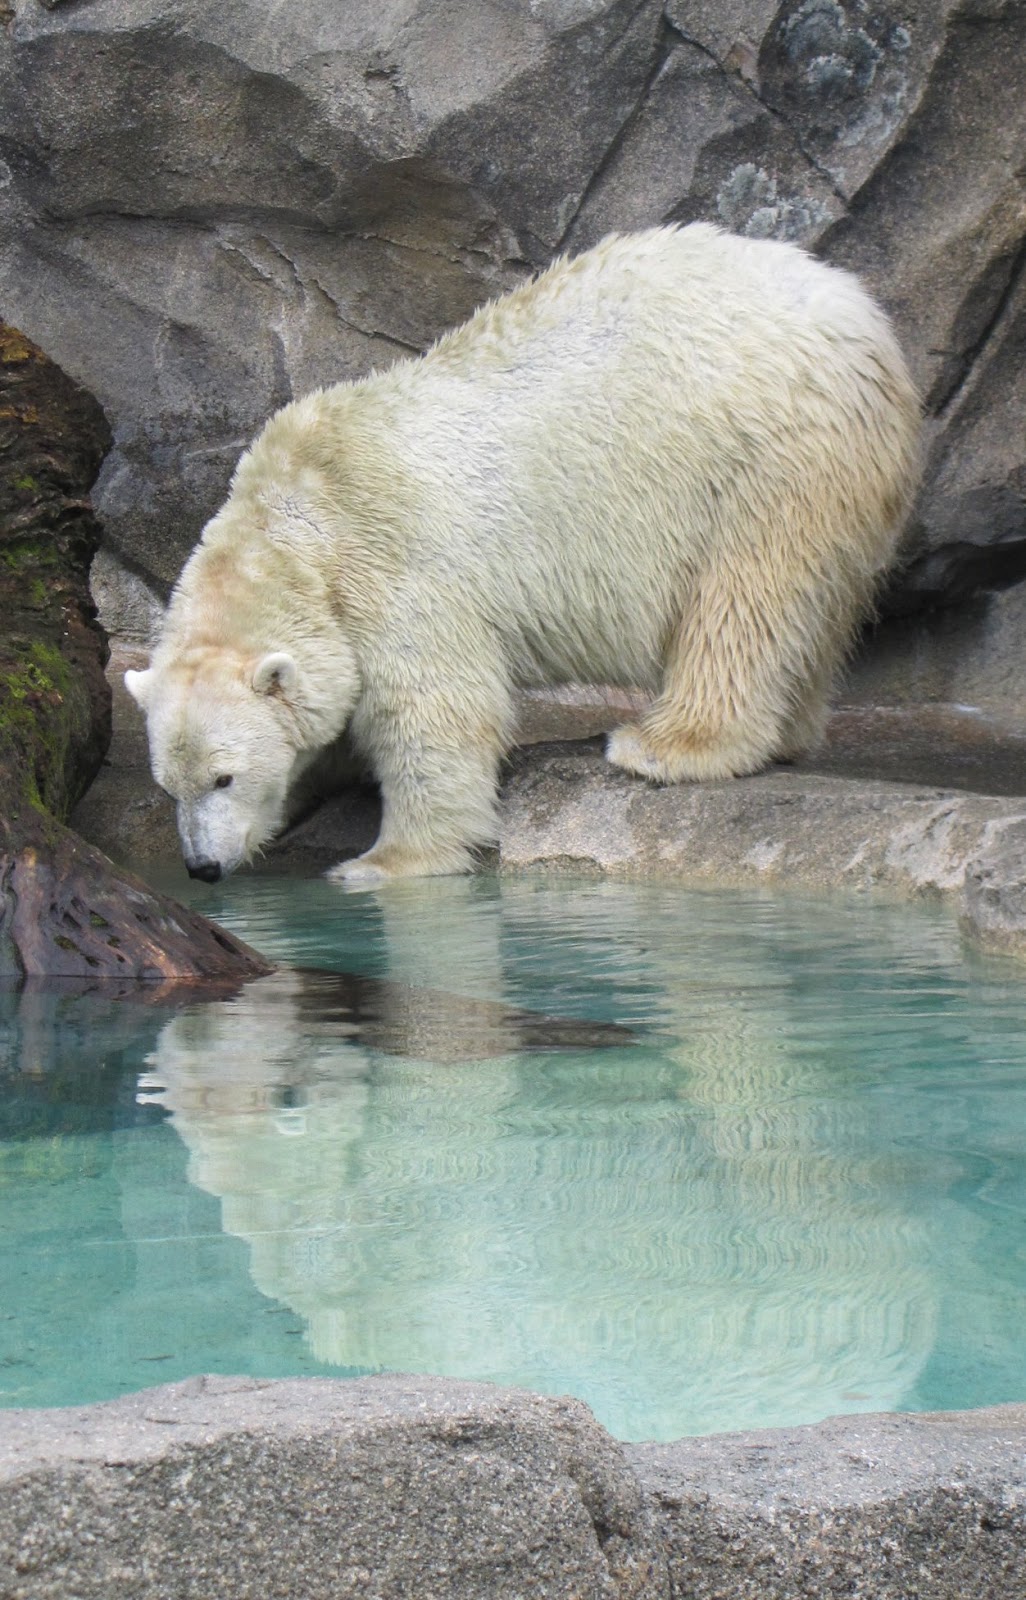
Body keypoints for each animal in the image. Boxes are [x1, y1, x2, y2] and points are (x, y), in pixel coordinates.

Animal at [126, 223, 920, 886]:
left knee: (743, 602)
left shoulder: (393, 564)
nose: (201, 868)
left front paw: (383, 862)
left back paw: (664, 745)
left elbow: (435, 711)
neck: (297, 518)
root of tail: (865, 322)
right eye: (169, 785)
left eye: (224, 777)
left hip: (767, 456)